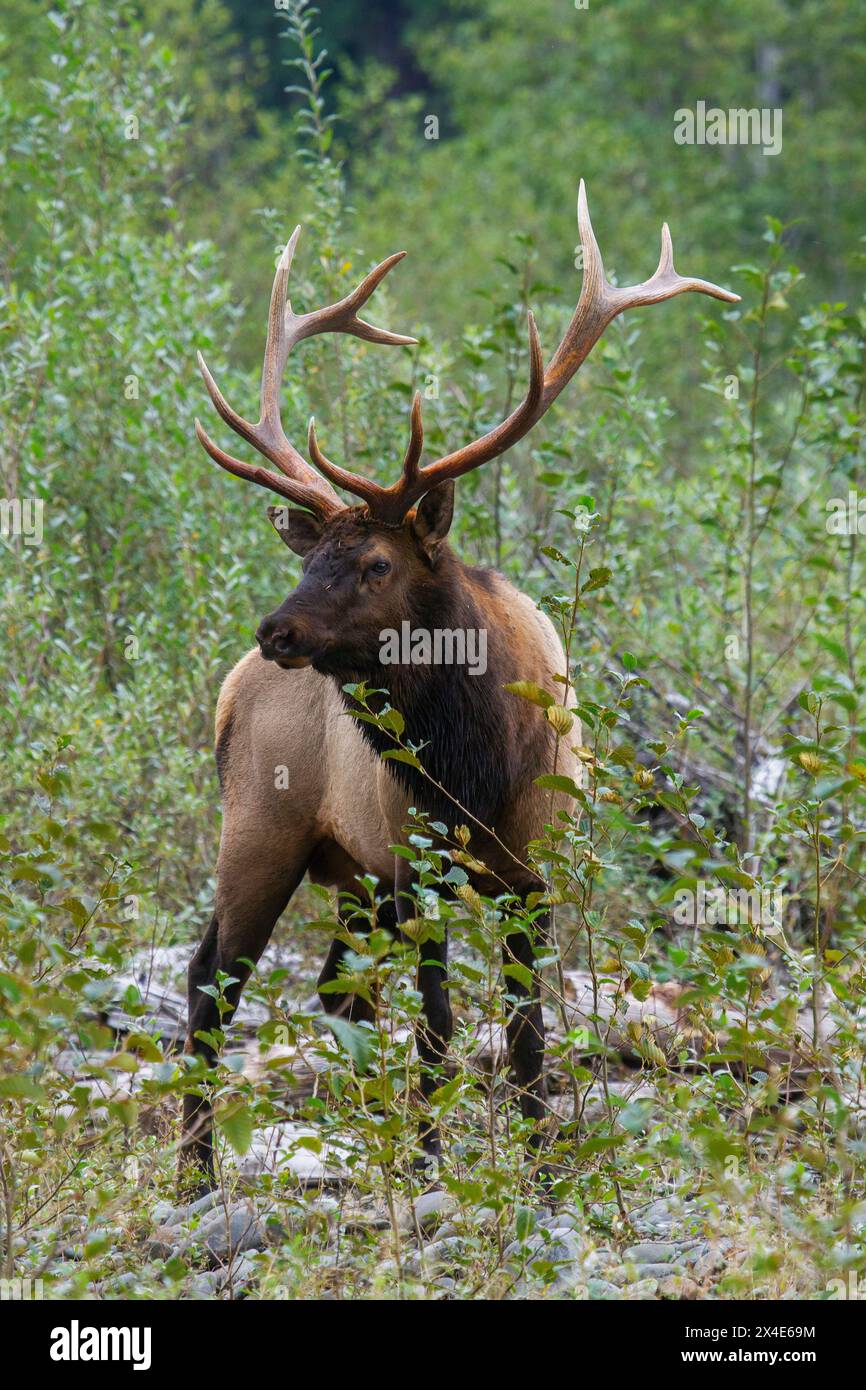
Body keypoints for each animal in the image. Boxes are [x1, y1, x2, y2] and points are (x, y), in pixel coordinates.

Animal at [180, 181, 737, 1187]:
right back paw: (196, 1173)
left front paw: (539, 1163)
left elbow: (526, 1030)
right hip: (262, 830)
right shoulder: (417, 868)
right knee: (213, 983)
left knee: (333, 994)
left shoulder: (532, 873)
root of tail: (229, 693)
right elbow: (438, 1029)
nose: (276, 629)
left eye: (372, 562)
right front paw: (439, 1166)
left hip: (348, 872)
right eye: (311, 556)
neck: (475, 768)